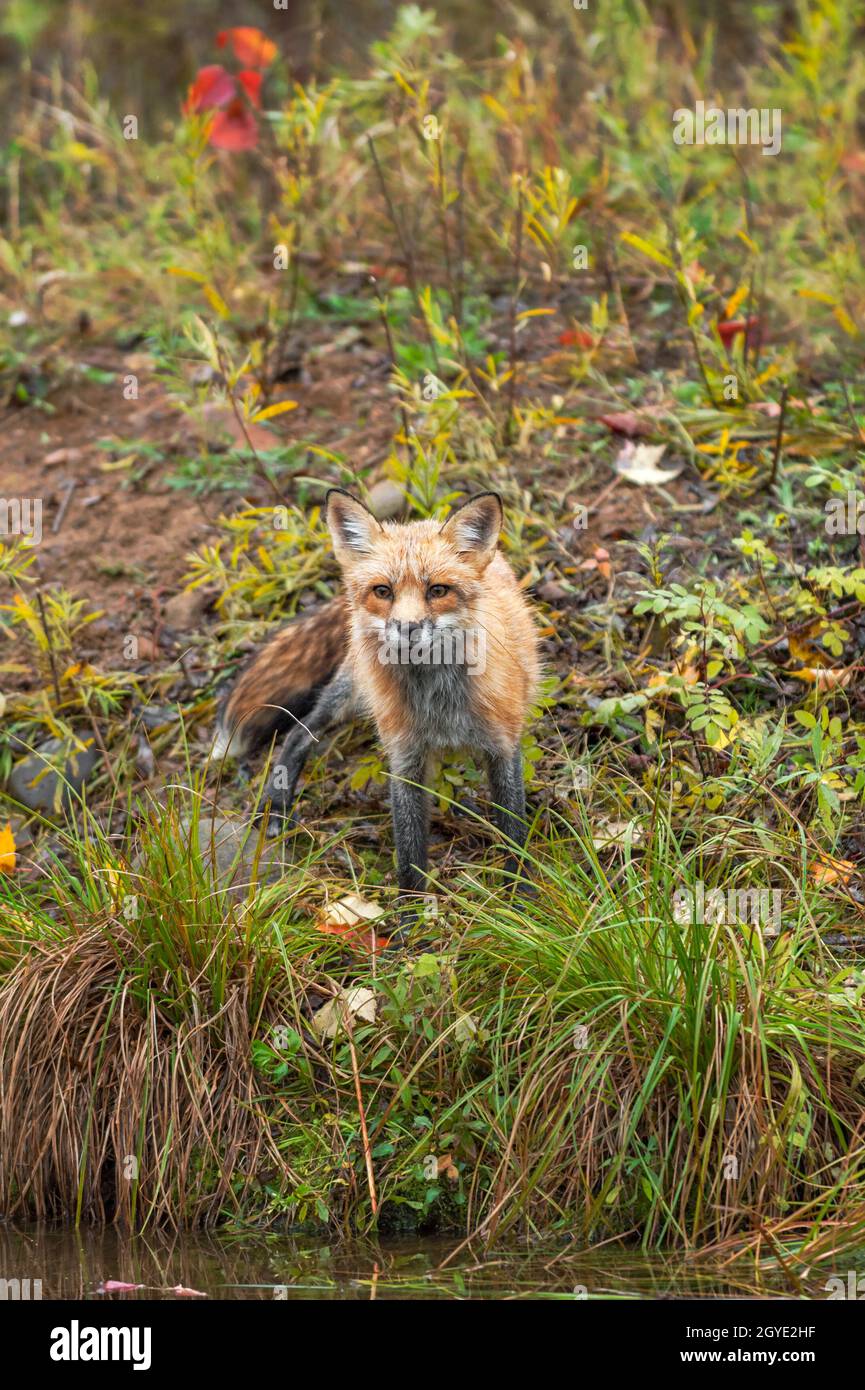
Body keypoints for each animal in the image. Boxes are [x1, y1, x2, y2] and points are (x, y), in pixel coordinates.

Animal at [212, 489, 540, 917]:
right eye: (383, 591)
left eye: (438, 590)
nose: (408, 628)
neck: (438, 702)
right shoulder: (404, 757)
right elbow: (409, 851)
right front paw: (409, 919)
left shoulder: (503, 744)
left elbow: (514, 828)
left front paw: (521, 899)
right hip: (348, 694)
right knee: (299, 733)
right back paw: (276, 802)